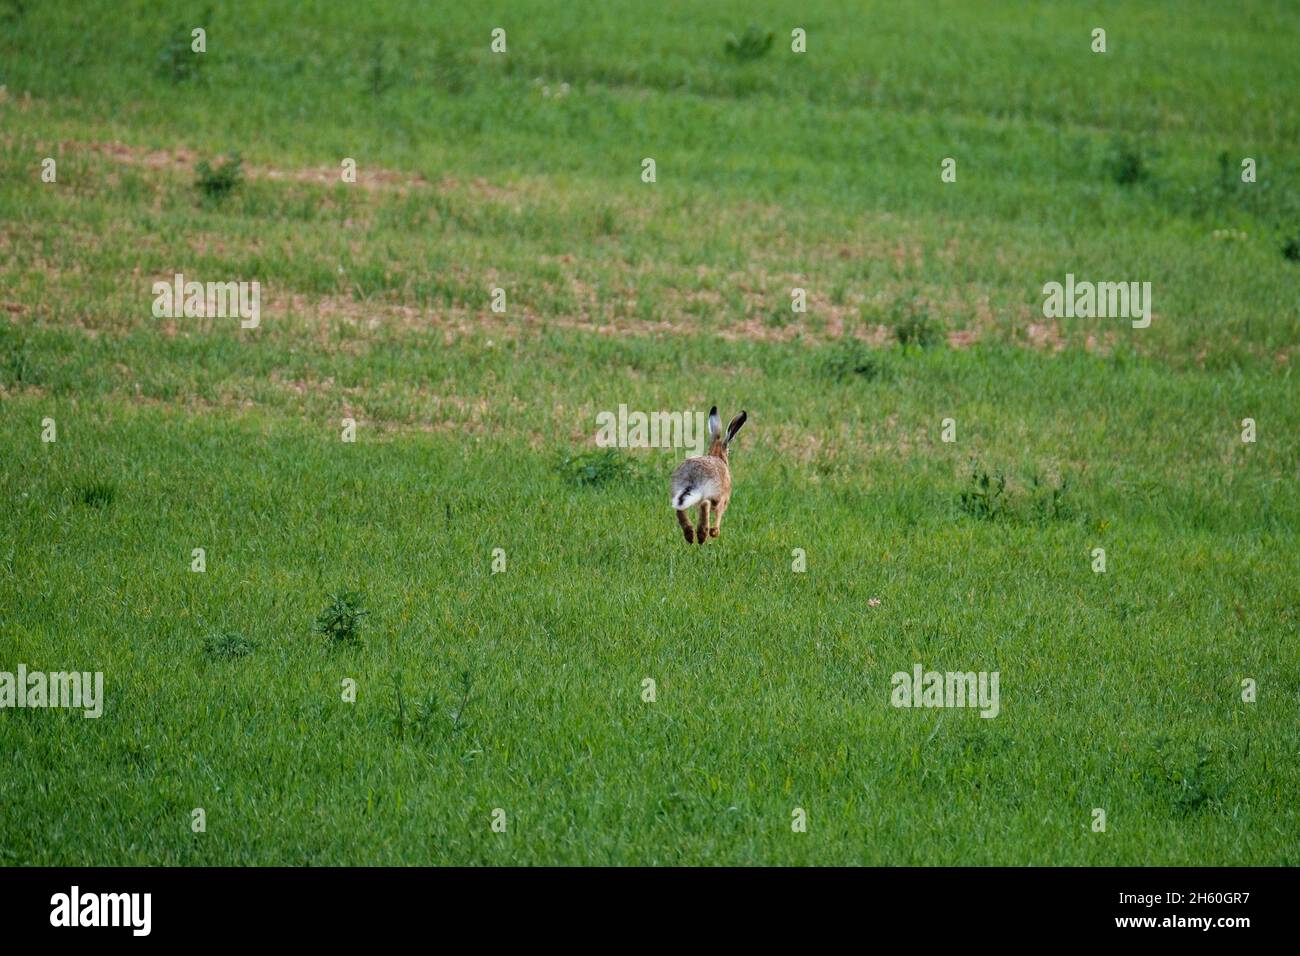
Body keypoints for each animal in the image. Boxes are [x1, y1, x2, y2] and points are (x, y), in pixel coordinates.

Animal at [669, 406, 747, 544]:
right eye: (728, 451)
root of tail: (693, 476)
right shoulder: (723, 499)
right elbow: (719, 514)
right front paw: (715, 532)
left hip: (678, 491)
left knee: (680, 509)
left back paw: (690, 535)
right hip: (712, 493)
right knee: (705, 504)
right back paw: (702, 535)